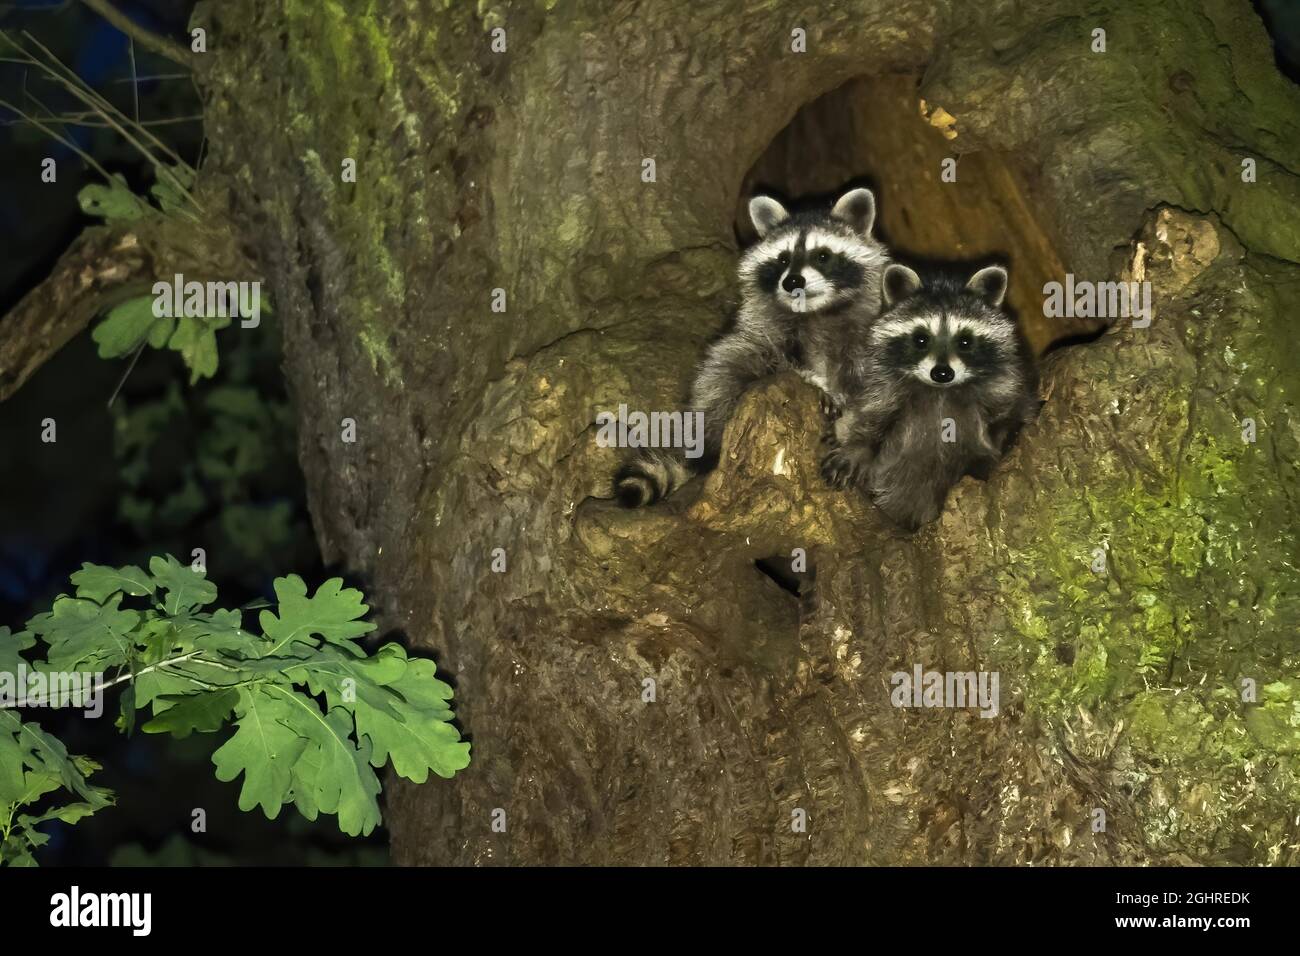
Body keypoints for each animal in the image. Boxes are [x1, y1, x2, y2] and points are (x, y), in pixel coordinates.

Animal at [615, 186, 891, 507]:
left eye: (822, 256)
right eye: (782, 259)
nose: (793, 281)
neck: (814, 311)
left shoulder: (864, 334)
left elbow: (871, 388)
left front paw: (853, 431)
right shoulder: (760, 325)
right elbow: (767, 354)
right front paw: (811, 378)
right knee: (722, 371)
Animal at [821, 262, 1040, 530]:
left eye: (965, 341)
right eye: (921, 339)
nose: (942, 373)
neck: (941, 391)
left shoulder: (1005, 384)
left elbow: (1015, 407)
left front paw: (1008, 431)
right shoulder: (883, 388)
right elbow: (871, 415)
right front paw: (858, 447)